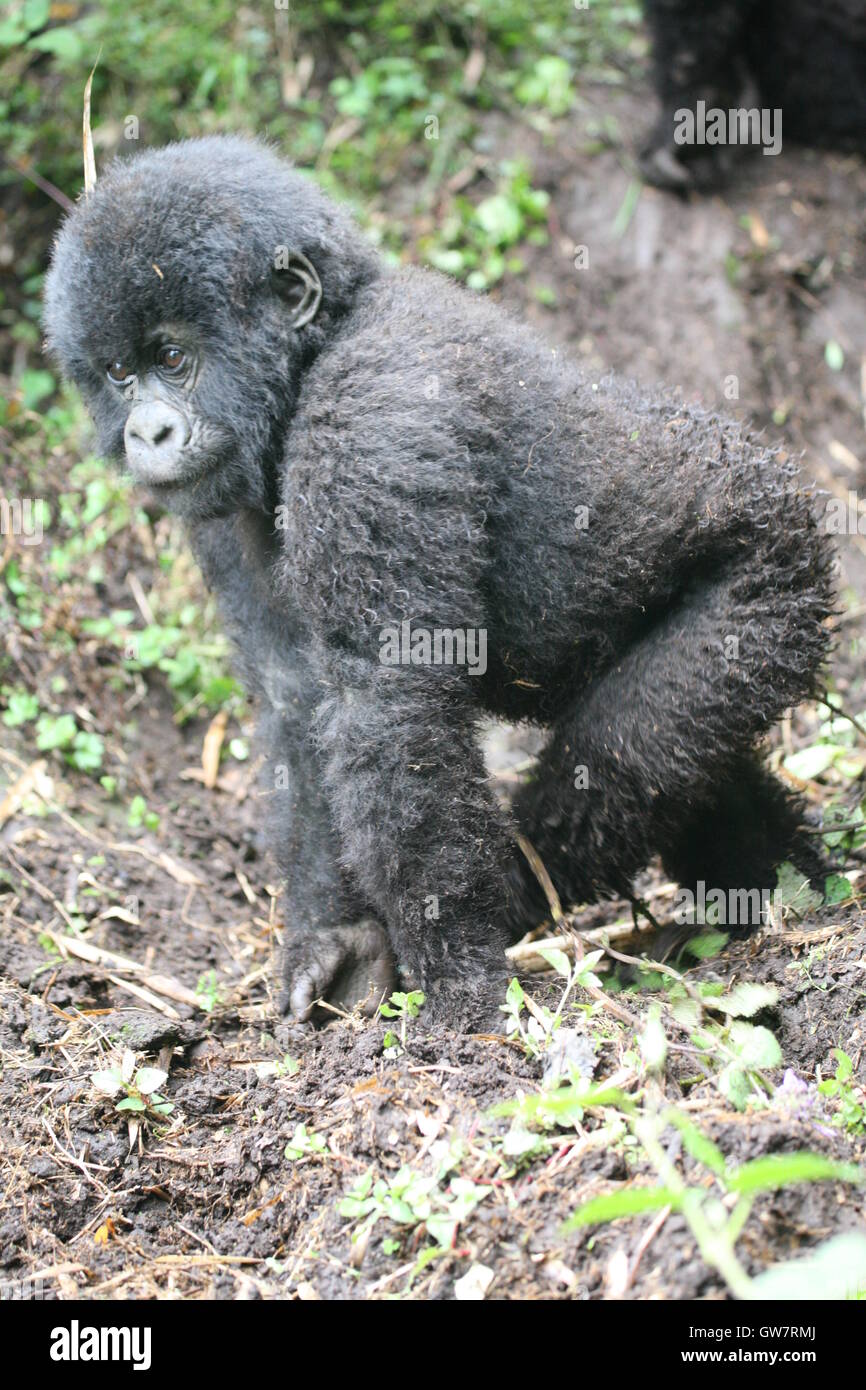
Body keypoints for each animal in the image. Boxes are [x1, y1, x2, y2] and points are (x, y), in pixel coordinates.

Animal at [43, 136, 835, 1027]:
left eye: (173, 359)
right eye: (118, 374)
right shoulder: (220, 502)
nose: (146, 432)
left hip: (769, 577)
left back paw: (528, 894)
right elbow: (298, 697)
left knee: (631, 748)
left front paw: (459, 994)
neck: (321, 344)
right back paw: (786, 891)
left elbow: (389, 706)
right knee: (695, 767)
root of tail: (793, 488)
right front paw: (338, 937)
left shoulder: (372, 418)